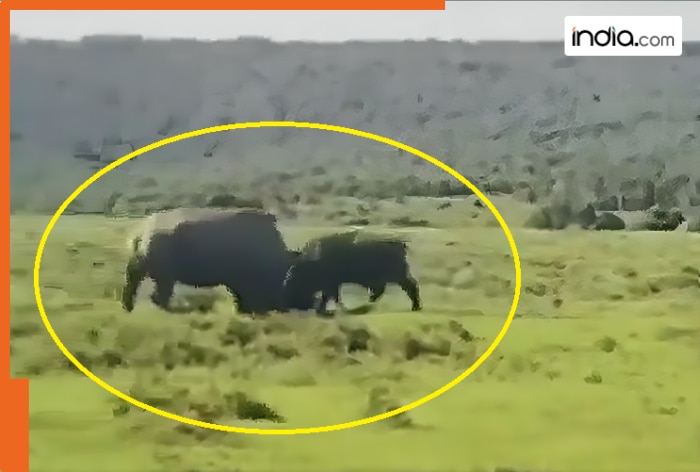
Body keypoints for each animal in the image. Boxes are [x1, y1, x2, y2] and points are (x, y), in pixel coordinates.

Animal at [121, 208, 315, 315]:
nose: (283, 308)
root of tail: (142, 231)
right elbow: (243, 296)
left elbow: (239, 296)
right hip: (165, 275)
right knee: (160, 294)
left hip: (141, 266)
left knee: (132, 283)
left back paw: (128, 308)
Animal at [281, 231, 422, 315]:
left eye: (295, 282)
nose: (288, 306)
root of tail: (400, 244)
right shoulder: (333, 284)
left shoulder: (331, 284)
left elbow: (330, 296)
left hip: (398, 275)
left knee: (411, 286)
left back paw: (415, 307)